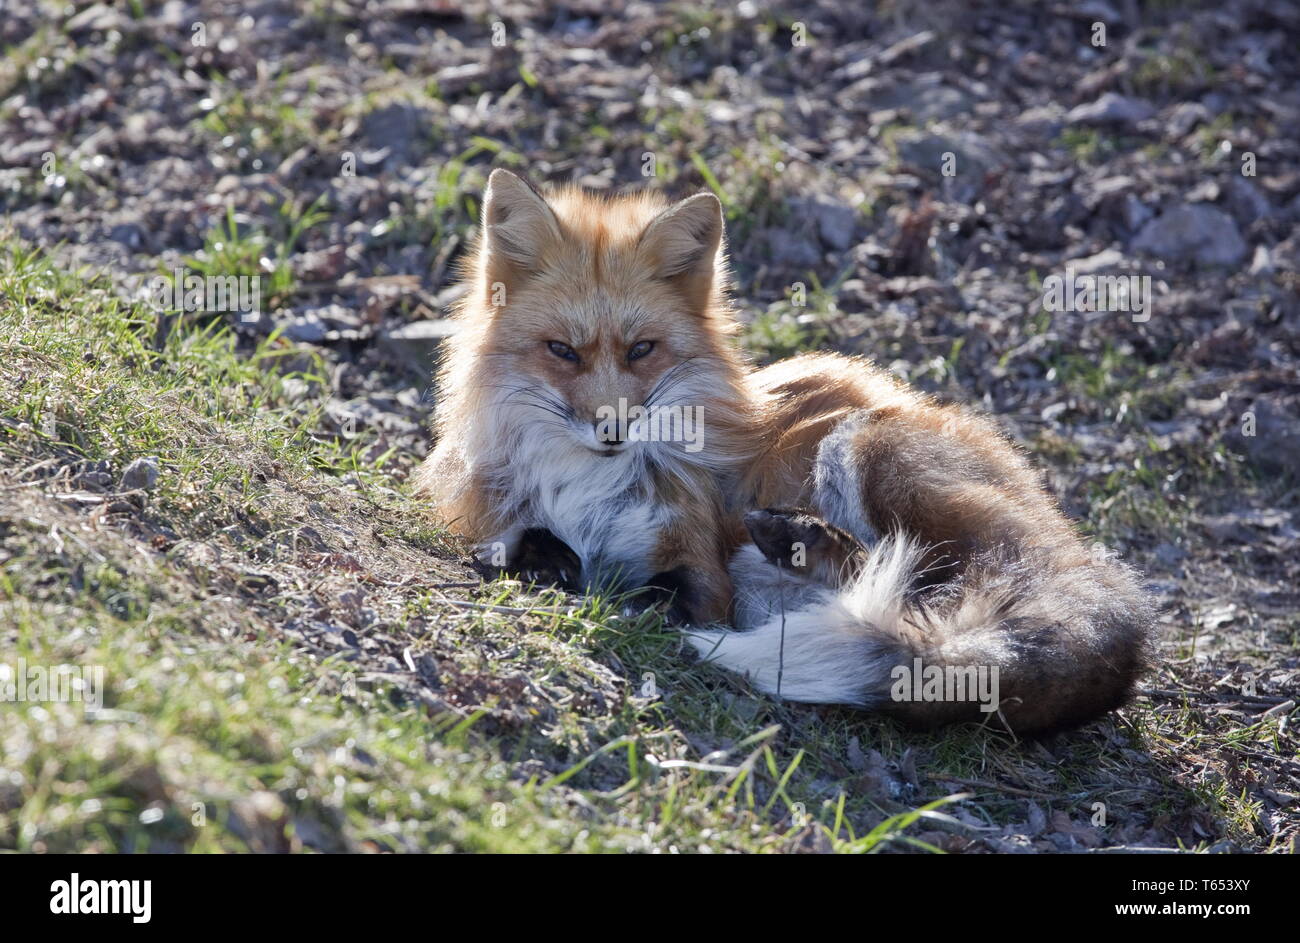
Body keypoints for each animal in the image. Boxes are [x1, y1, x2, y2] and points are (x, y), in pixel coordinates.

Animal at [415, 168, 1154, 735]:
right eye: (562, 351)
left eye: (642, 349)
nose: (613, 430)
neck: (586, 494)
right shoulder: (485, 517)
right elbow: (520, 542)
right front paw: (553, 563)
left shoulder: (699, 563)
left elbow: (670, 593)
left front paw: (631, 605)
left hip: (867, 449)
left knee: (913, 587)